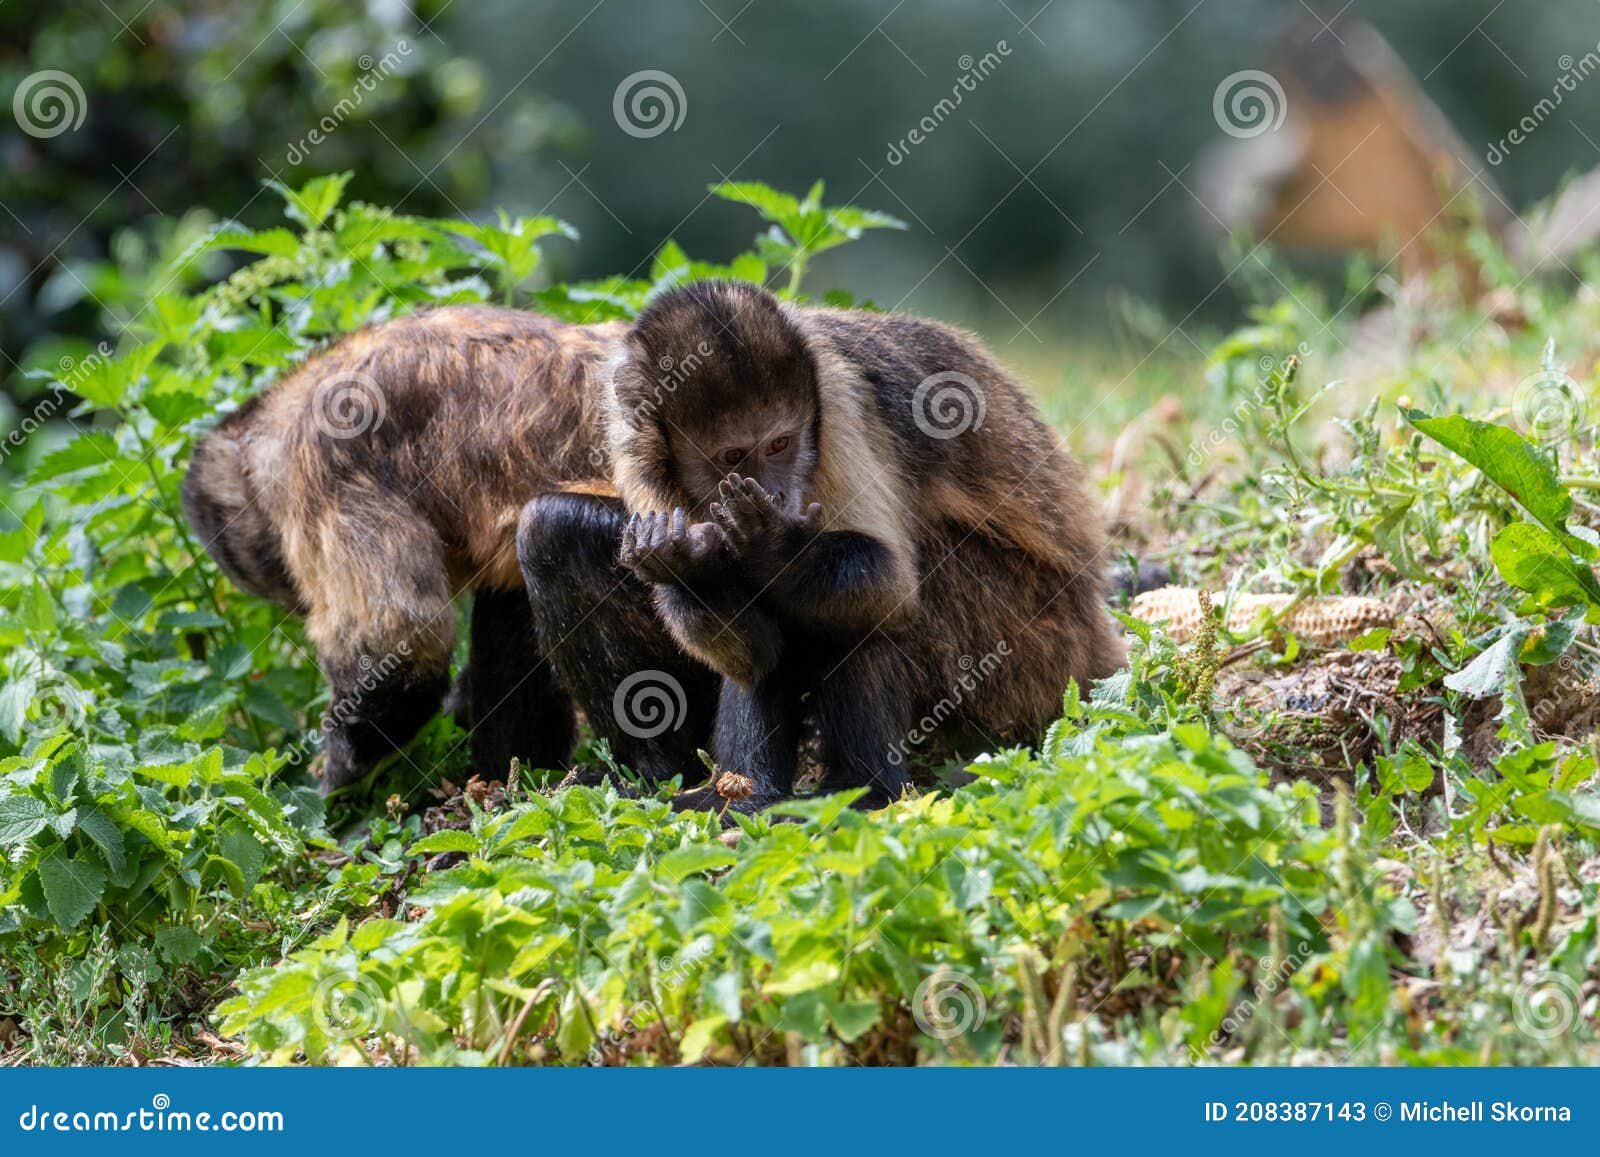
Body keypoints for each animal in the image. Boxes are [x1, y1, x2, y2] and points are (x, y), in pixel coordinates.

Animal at [514, 280, 1126, 814]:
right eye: (733, 456)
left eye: (781, 444)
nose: (776, 493)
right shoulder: (628, 429)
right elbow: (750, 647)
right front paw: (692, 567)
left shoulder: (839, 405)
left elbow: (887, 583)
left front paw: (773, 549)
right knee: (553, 528)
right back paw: (728, 789)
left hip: (1033, 651)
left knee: (872, 603)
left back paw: (865, 790)